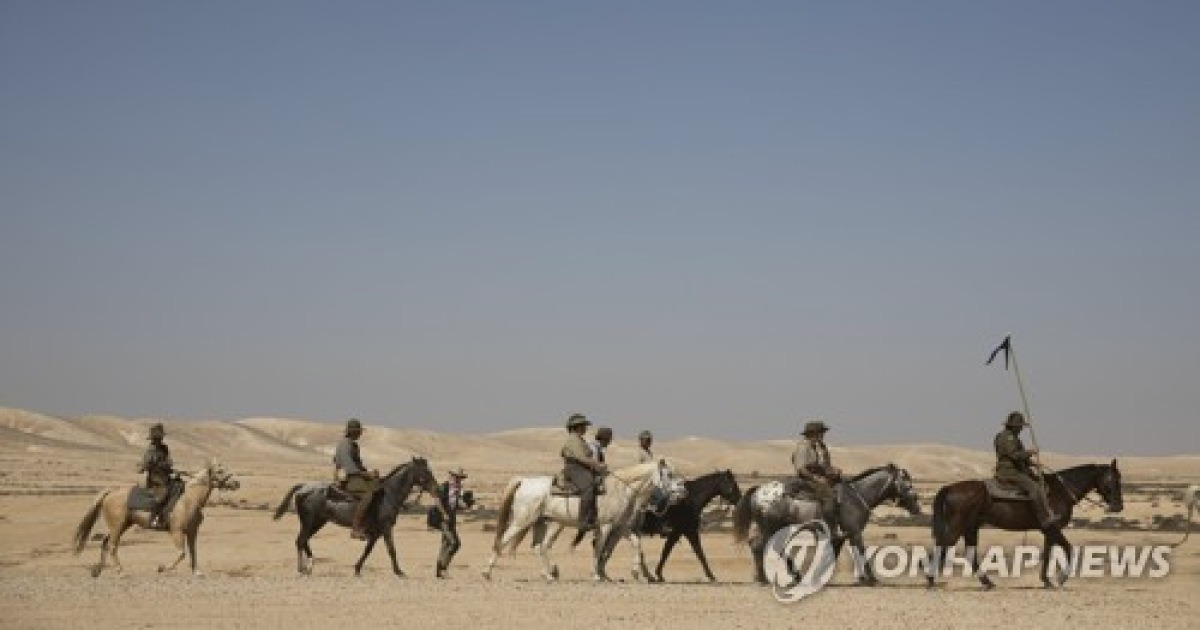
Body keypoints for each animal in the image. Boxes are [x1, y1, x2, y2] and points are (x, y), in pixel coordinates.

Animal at [72, 458, 240, 577]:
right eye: (220, 471)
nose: (236, 483)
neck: (189, 500)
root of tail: (111, 492)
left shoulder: (192, 532)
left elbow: (193, 551)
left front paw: (197, 572)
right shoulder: (177, 532)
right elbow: (182, 553)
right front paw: (162, 568)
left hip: (123, 525)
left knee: (105, 542)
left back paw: (98, 570)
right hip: (117, 526)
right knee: (112, 545)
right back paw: (121, 571)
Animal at [272, 457, 447, 577]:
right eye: (425, 472)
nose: (437, 489)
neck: (388, 494)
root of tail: (303, 487)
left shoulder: (376, 532)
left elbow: (367, 550)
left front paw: (357, 569)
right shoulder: (386, 528)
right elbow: (391, 549)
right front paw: (399, 571)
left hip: (317, 522)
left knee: (304, 540)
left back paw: (309, 566)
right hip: (310, 521)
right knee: (301, 540)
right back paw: (302, 569)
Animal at [481, 459, 687, 582]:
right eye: (669, 474)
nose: (683, 492)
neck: (622, 489)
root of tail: (524, 481)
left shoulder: (621, 528)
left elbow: (635, 545)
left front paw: (635, 572)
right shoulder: (605, 526)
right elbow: (600, 549)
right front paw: (596, 575)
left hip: (540, 522)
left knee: (539, 546)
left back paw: (549, 574)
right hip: (523, 521)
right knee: (503, 540)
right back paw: (487, 572)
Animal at [733, 464, 922, 585]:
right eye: (907, 484)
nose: (917, 507)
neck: (857, 496)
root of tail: (758, 491)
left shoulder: (840, 536)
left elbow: (834, 555)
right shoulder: (854, 532)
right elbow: (861, 551)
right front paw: (871, 579)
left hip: (777, 528)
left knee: (764, 546)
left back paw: (786, 576)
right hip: (771, 527)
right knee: (760, 546)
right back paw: (765, 578)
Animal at [924, 460, 1123, 589]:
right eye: (1113, 480)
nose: (1118, 506)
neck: (1061, 492)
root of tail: (950, 488)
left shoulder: (1049, 530)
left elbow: (1048, 553)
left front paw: (1046, 581)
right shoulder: (1052, 528)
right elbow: (1069, 549)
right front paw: (1061, 578)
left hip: (970, 527)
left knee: (968, 552)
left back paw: (987, 582)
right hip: (958, 526)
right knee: (944, 546)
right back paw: (931, 580)